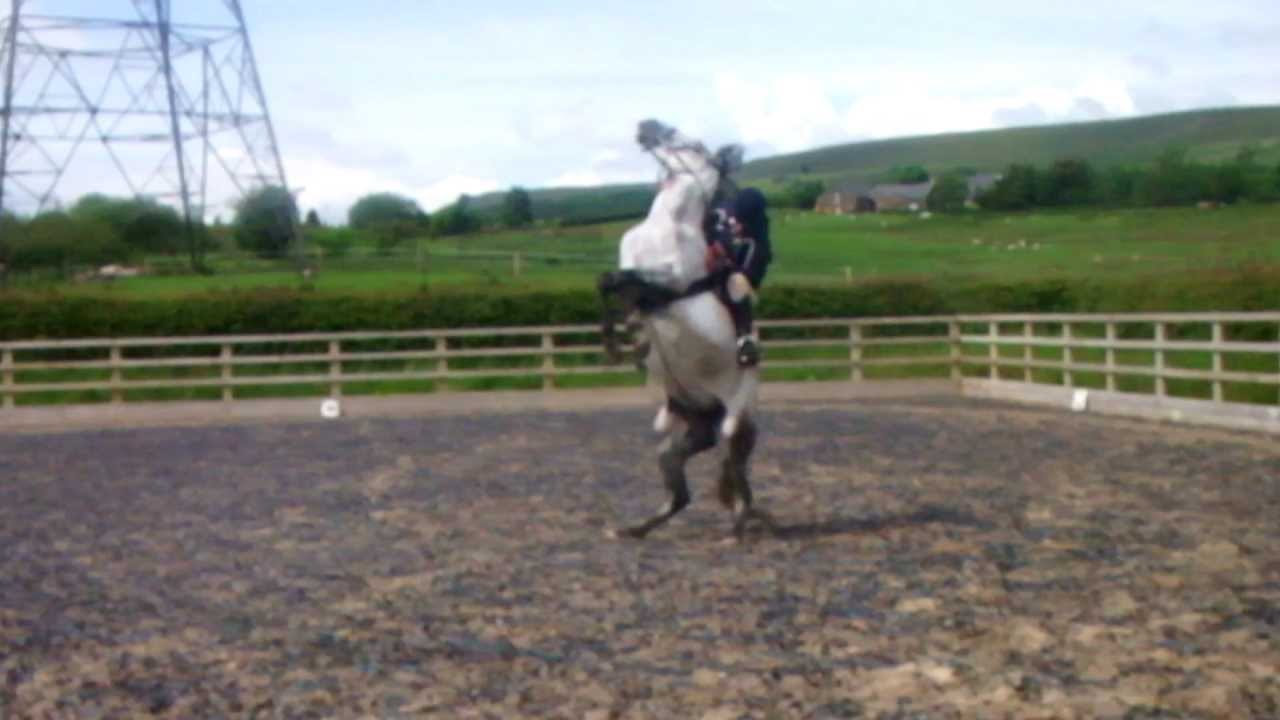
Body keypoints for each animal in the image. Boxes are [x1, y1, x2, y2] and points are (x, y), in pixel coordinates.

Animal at [598, 119, 773, 540]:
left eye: (691, 144)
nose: (646, 126)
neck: (668, 223)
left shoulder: (671, 283)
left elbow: (626, 283)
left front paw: (625, 342)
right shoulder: (631, 275)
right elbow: (610, 285)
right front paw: (625, 342)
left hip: (736, 424)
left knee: (736, 474)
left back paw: (738, 526)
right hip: (688, 433)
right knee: (681, 493)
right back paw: (635, 529)